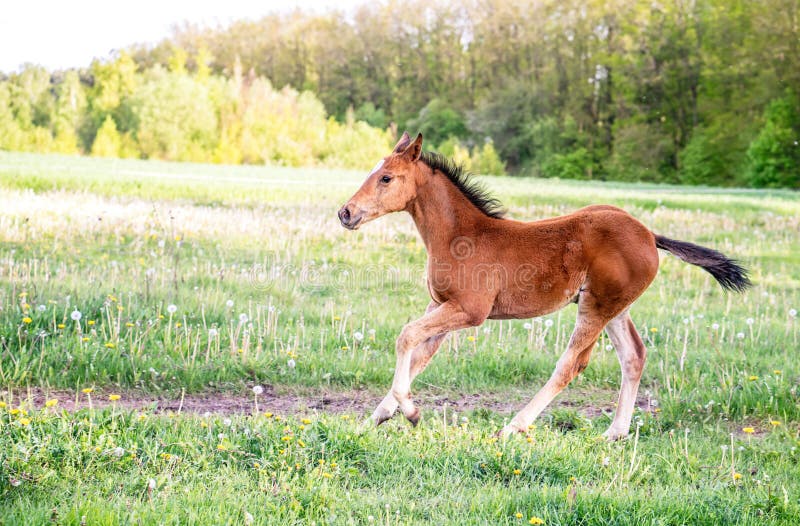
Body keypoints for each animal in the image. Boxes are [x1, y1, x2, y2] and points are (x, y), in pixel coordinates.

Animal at [337, 132, 750, 440]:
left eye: (386, 178)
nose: (345, 212)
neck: (460, 236)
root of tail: (649, 234)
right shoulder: (439, 305)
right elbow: (419, 354)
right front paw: (378, 416)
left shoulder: (469, 311)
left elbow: (406, 337)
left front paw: (409, 412)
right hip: (615, 308)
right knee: (634, 356)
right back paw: (614, 433)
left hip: (597, 306)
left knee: (571, 364)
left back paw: (515, 426)